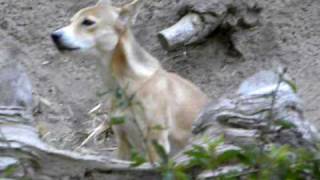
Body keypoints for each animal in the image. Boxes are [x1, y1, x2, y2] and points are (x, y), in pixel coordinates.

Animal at [51, 0, 209, 162]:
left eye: (87, 22)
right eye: (71, 21)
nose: (54, 35)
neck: (124, 85)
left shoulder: (155, 142)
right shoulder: (122, 138)